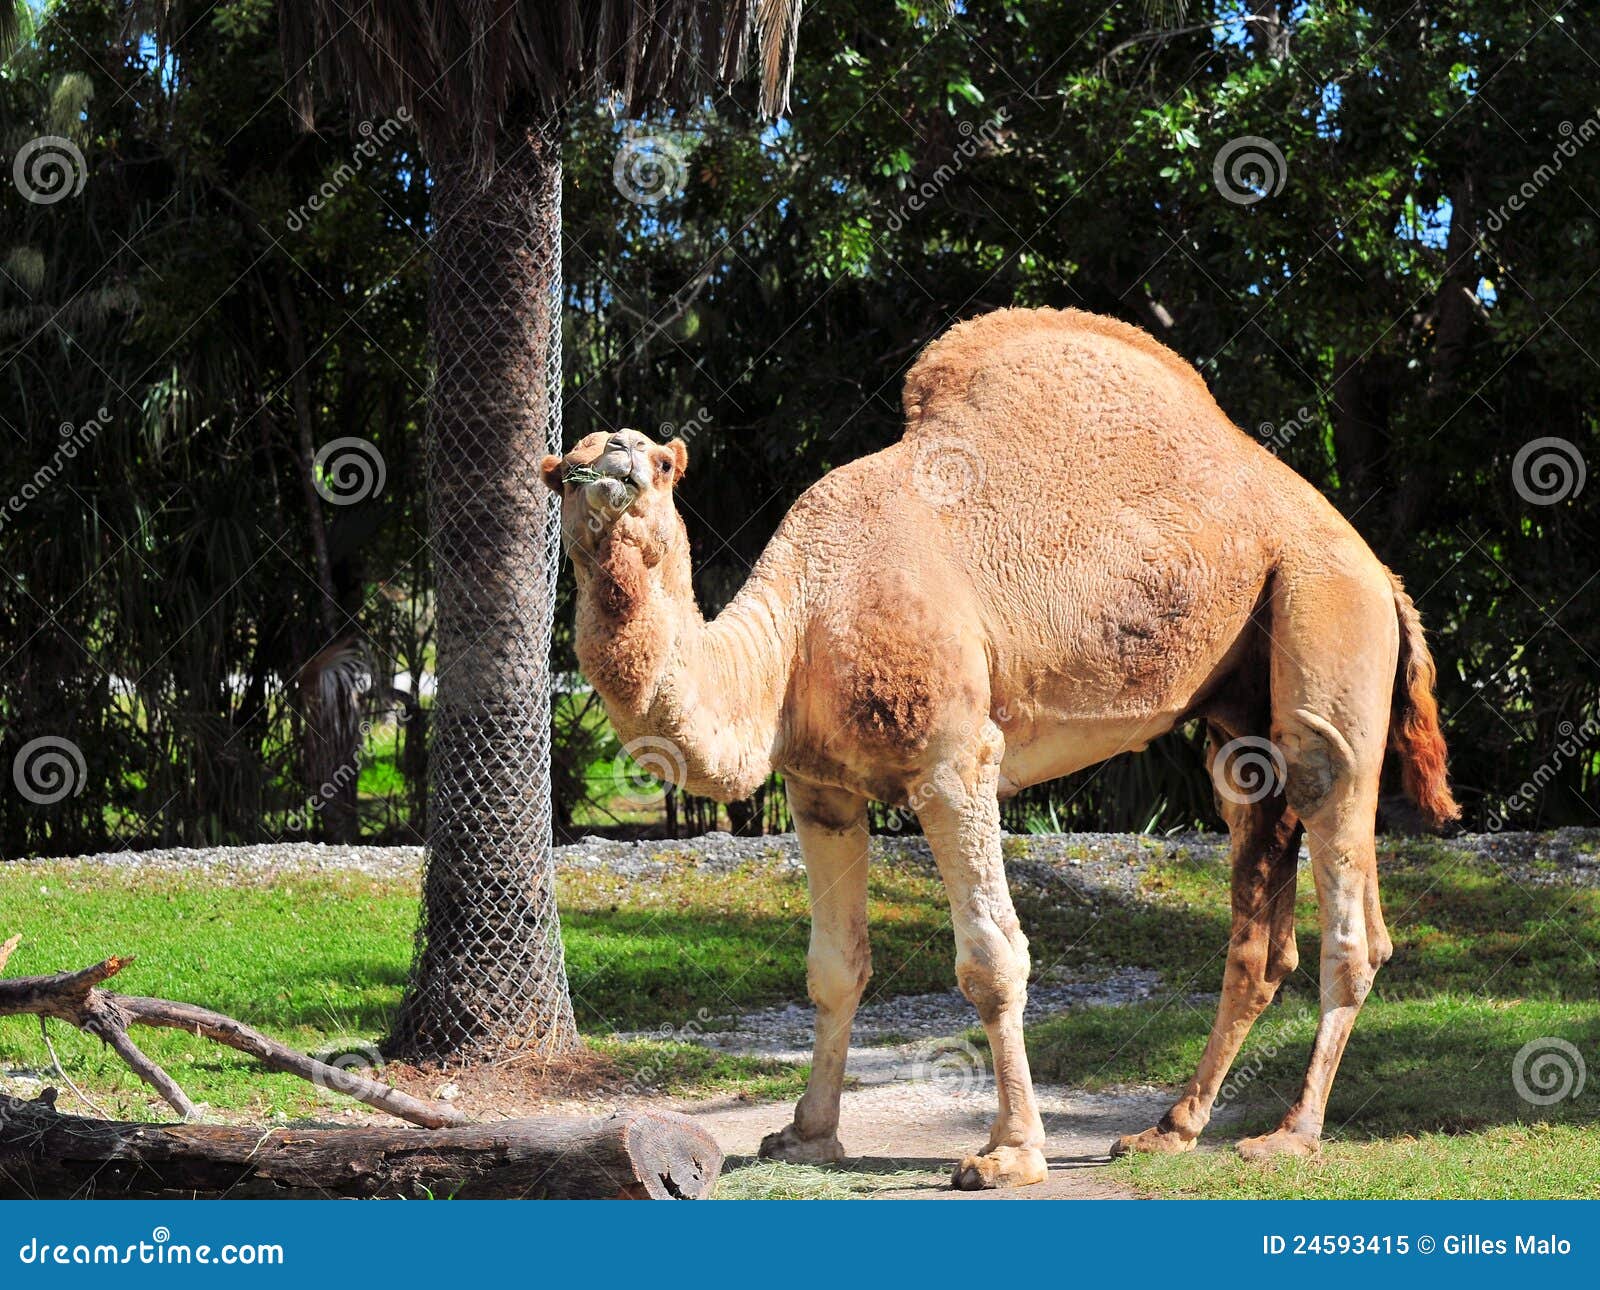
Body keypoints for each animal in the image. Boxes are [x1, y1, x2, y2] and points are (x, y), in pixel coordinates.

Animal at [542, 306, 1459, 1190]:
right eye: (563, 469)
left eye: (662, 464)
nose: (613, 456)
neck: (799, 626)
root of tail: (1383, 572)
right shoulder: (818, 787)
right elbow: (835, 965)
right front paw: (807, 1134)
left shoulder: (954, 761)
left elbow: (991, 960)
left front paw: (1008, 1152)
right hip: (1240, 716)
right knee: (1260, 925)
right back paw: (1170, 1129)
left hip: (1325, 615)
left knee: (1344, 873)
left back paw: (1291, 1135)